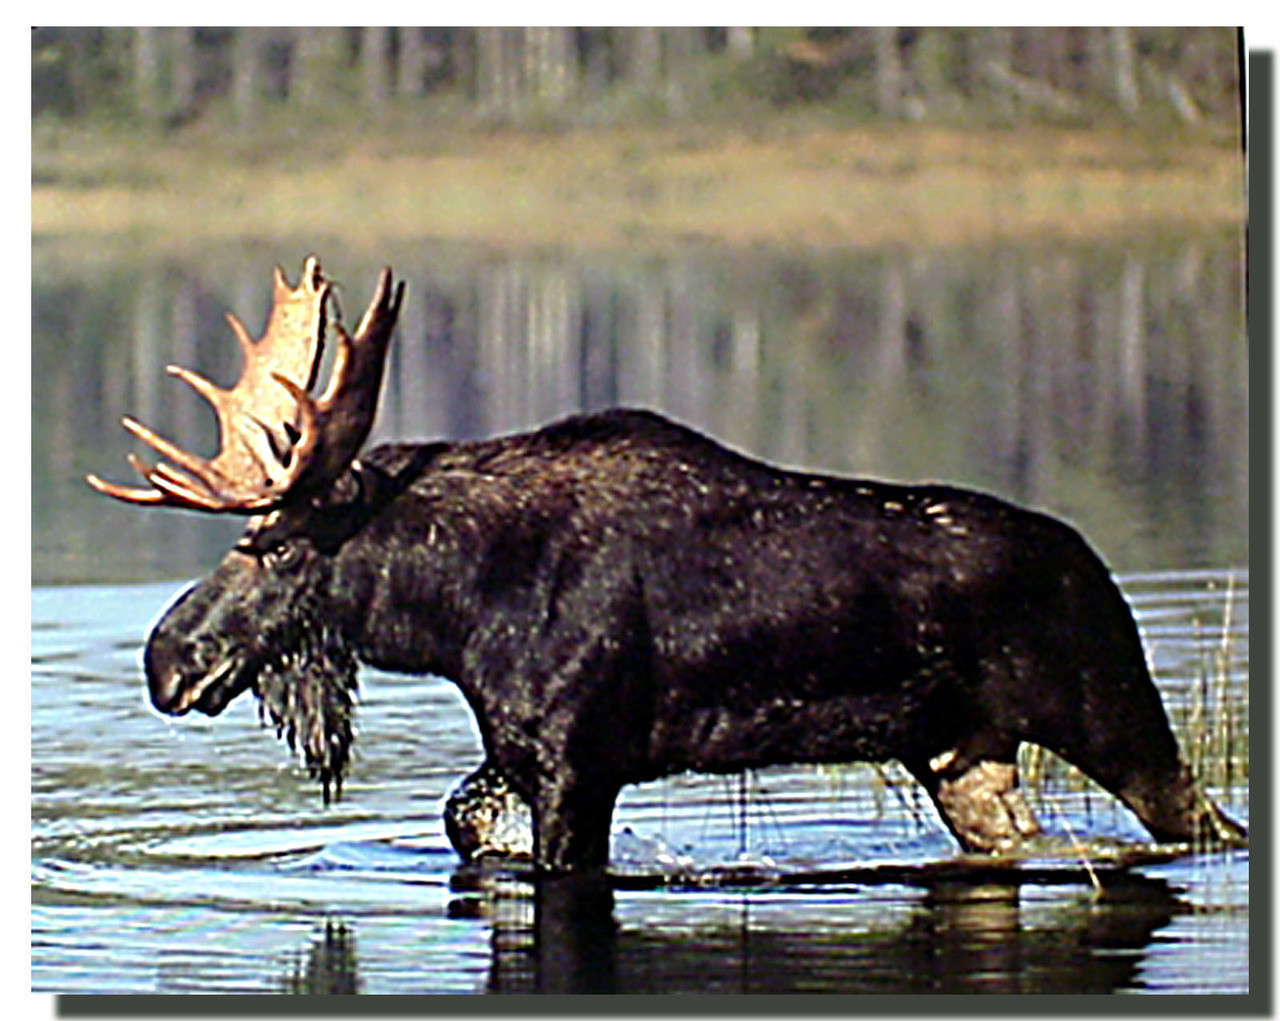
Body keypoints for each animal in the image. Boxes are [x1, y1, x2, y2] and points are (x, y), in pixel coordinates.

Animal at [88, 257, 1246, 874]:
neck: (454, 616)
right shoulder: (516, 745)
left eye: (276, 542)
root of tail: (1091, 560)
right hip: (962, 752)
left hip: (1105, 705)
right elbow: (462, 821)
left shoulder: (581, 755)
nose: (166, 659)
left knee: (1206, 824)